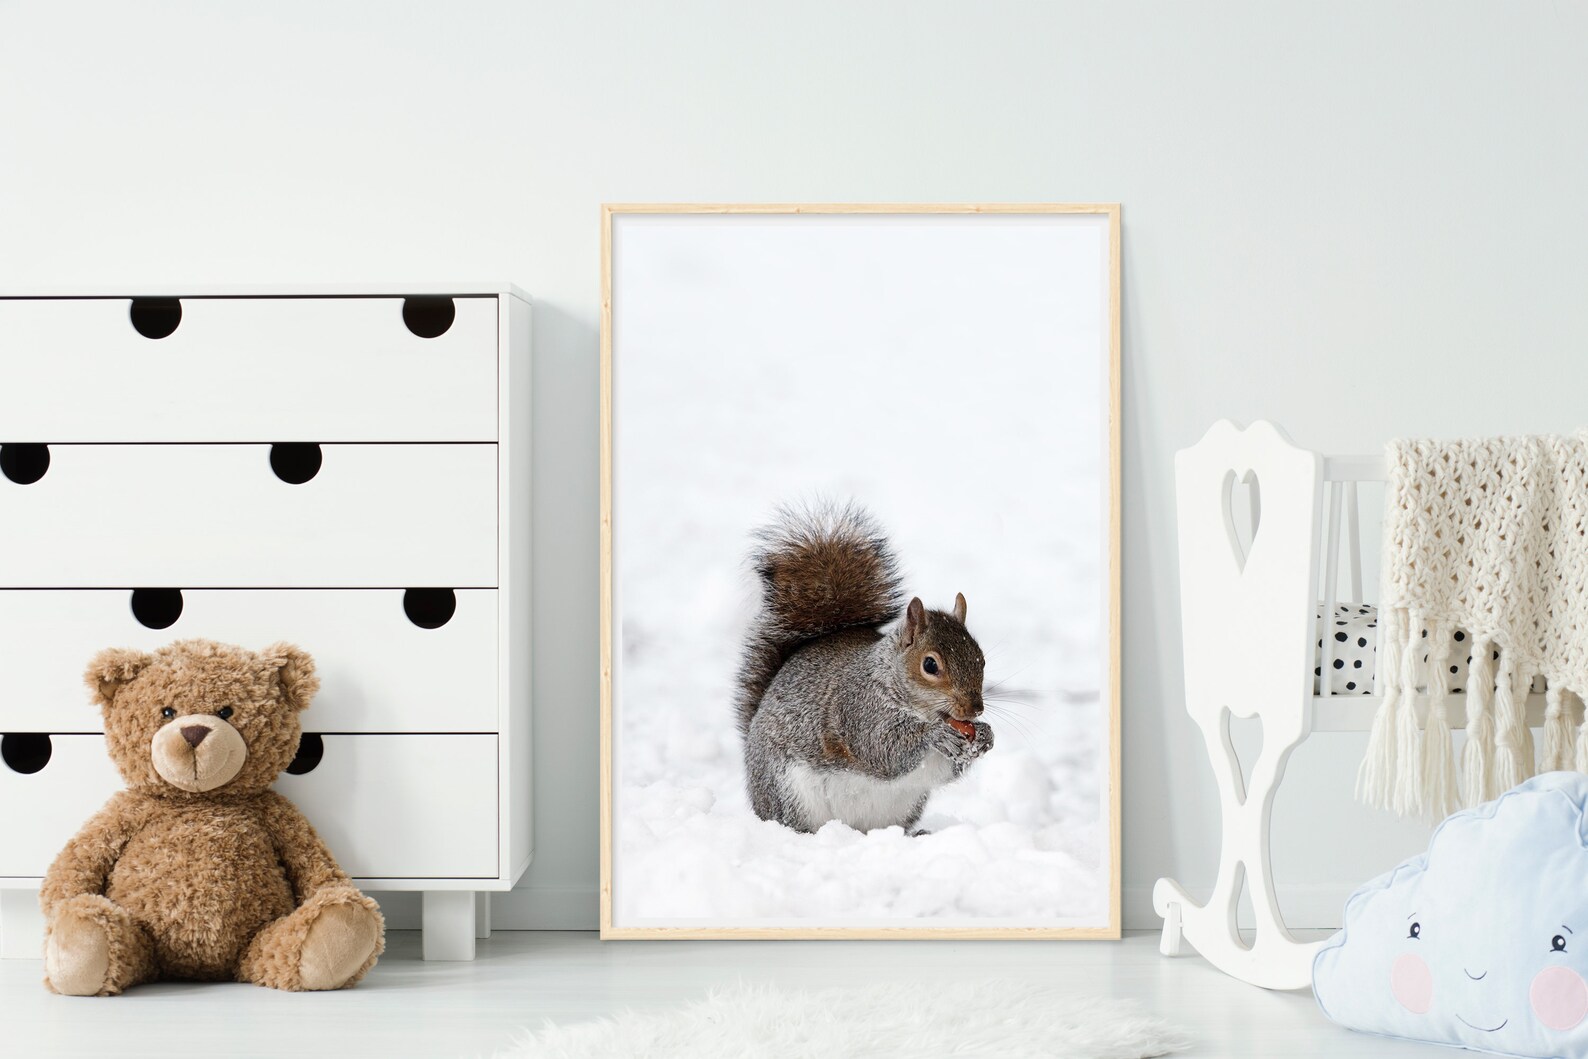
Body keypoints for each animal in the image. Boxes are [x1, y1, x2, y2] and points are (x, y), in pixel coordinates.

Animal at [735, 502, 993, 834]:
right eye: (930, 665)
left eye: (981, 659)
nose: (975, 709)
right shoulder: (860, 708)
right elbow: (882, 747)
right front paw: (935, 735)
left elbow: (946, 769)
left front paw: (985, 735)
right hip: (788, 793)